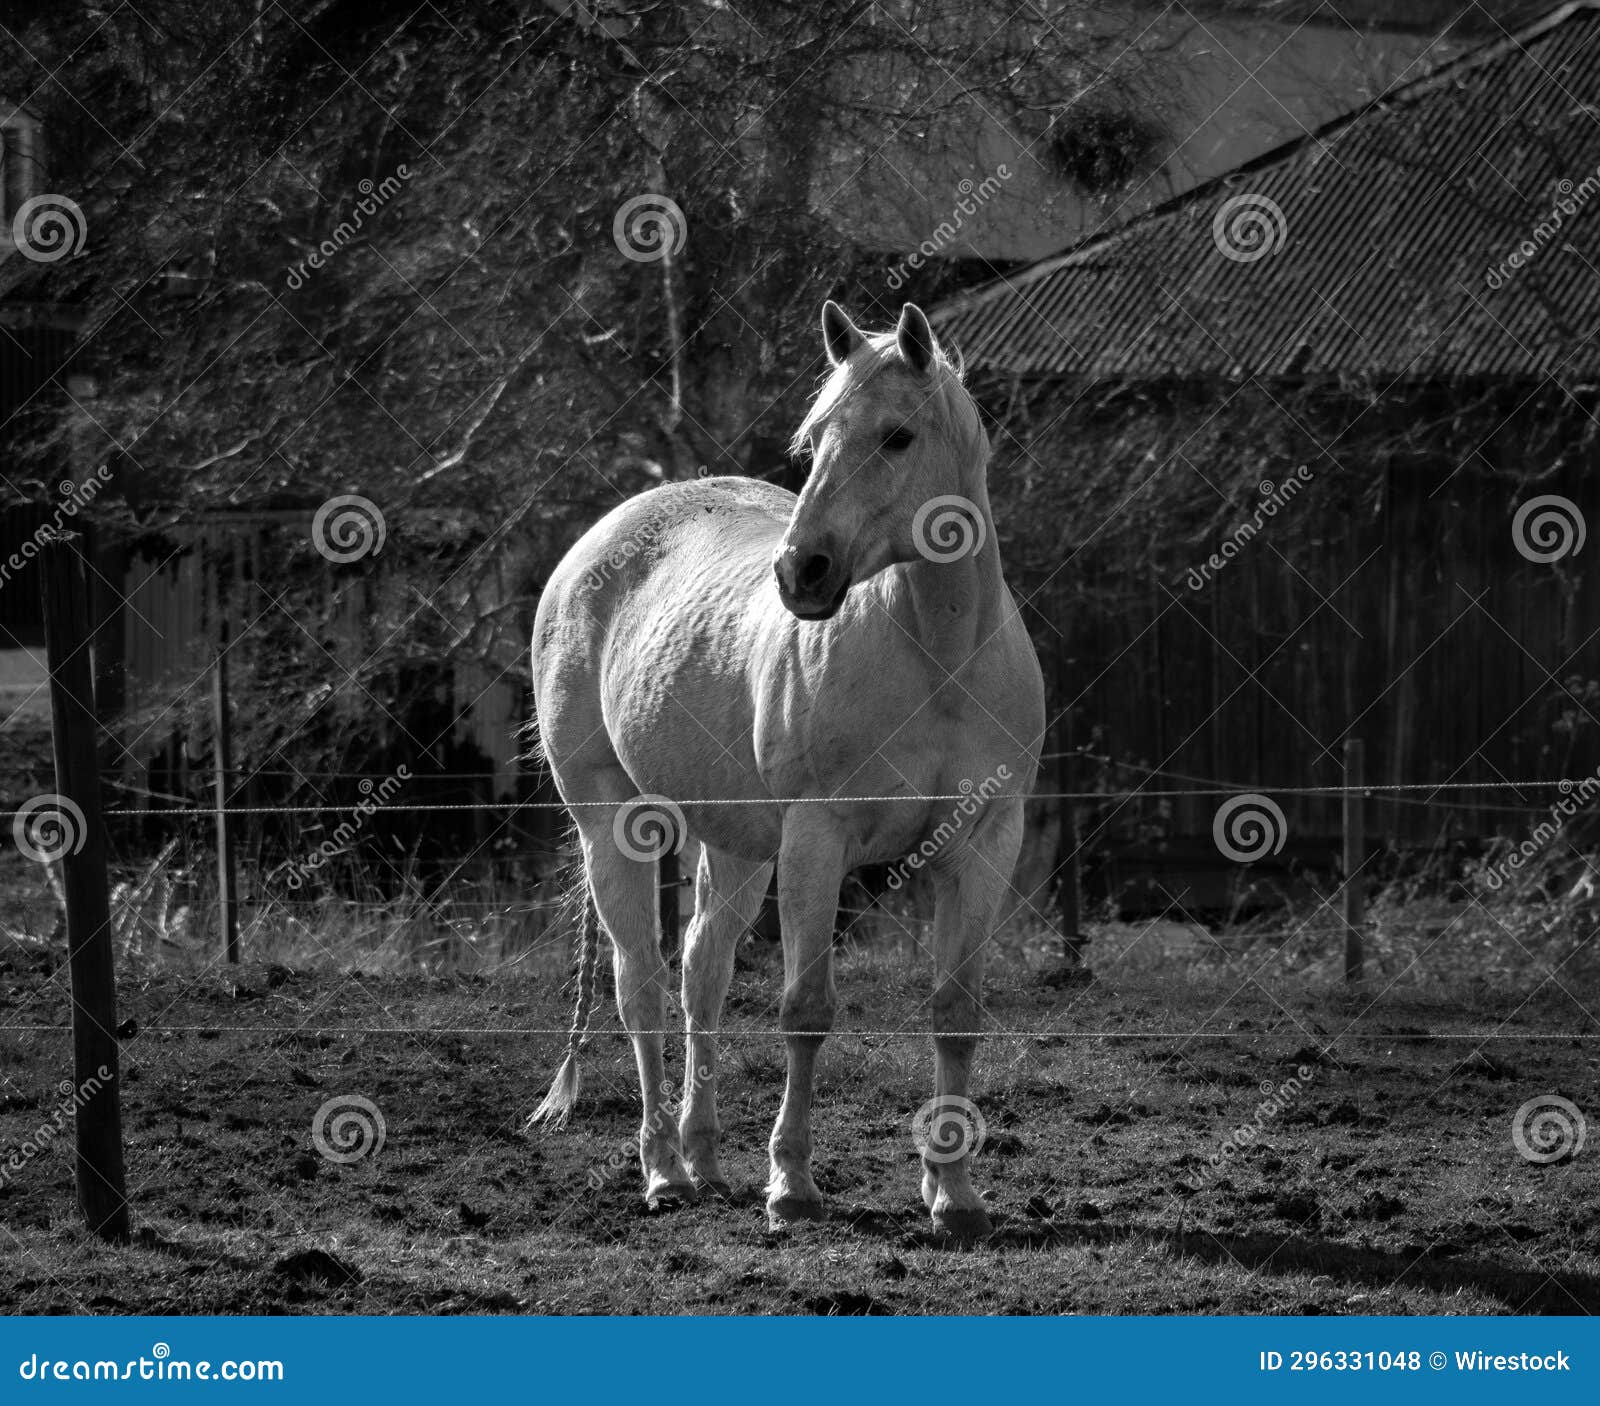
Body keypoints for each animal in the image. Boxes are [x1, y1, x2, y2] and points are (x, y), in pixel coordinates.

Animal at [529, 301, 1045, 1238]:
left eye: (897, 436)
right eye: (813, 441)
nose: (801, 572)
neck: (938, 655)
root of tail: (596, 545)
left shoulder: (987, 842)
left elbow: (956, 1013)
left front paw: (953, 1196)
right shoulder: (817, 839)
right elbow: (806, 1011)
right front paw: (792, 1186)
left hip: (735, 844)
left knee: (700, 973)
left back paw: (700, 1158)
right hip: (613, 824)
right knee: (640, 987)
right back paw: (662, 1172)